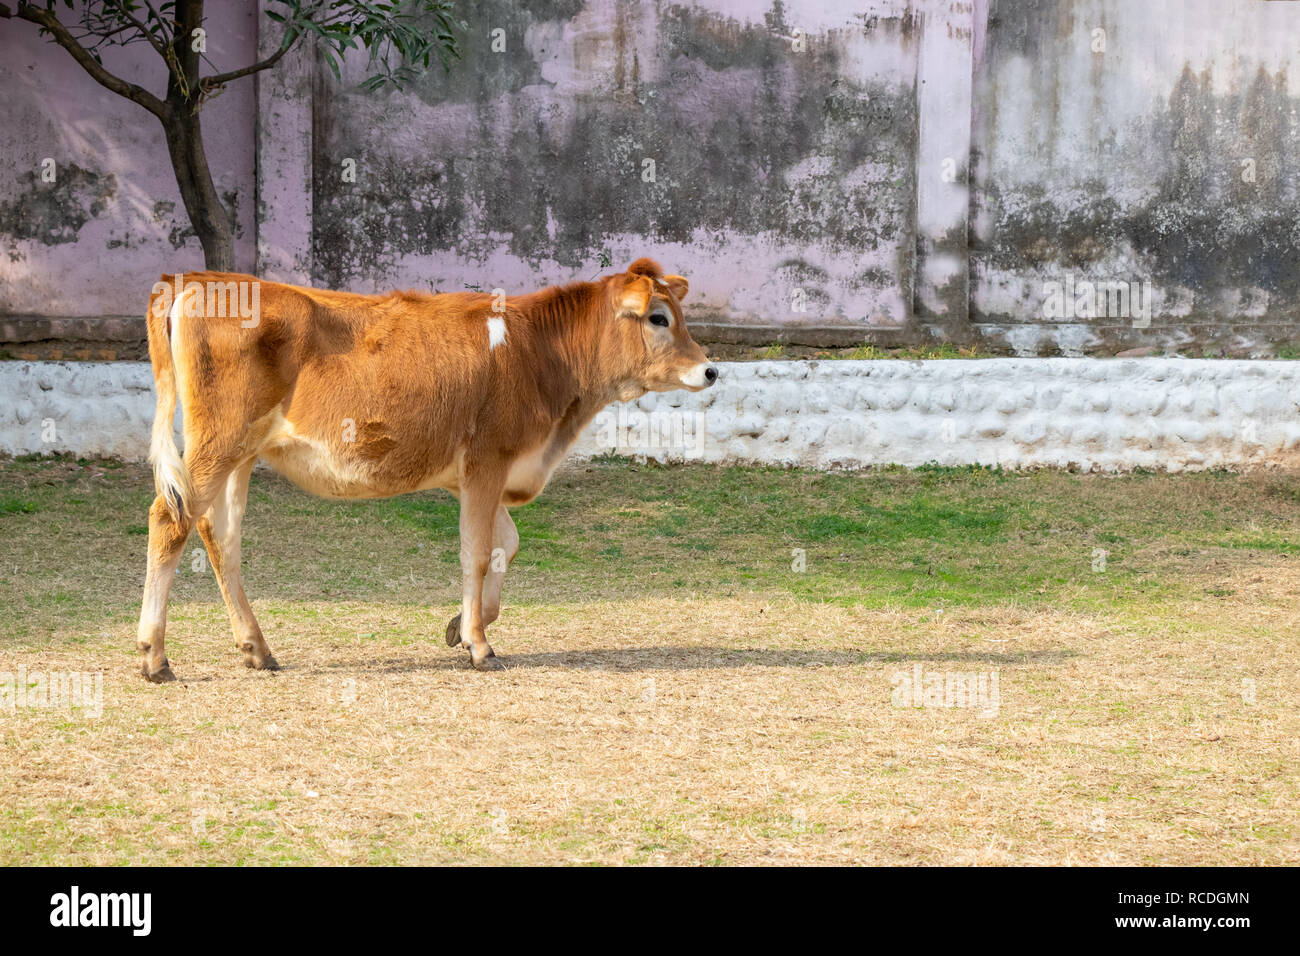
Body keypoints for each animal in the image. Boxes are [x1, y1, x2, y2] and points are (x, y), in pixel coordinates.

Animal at [135, 259, 717, 681]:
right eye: (658, 317)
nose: (711, 368)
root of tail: (197, 278)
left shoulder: (481, 474)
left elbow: (507, 544)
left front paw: (462, 625)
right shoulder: (488, 459)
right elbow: (478, 553)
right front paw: (479, 645)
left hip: (241, 454)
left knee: (219, 535)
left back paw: (257, 648)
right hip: (219, 441)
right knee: (170, 519)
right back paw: (155, 657)